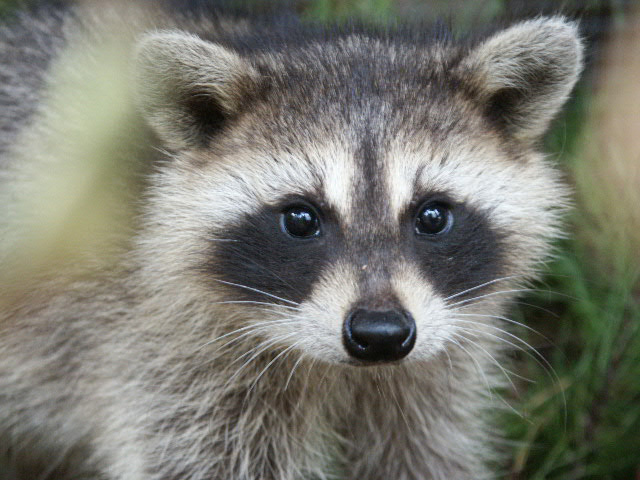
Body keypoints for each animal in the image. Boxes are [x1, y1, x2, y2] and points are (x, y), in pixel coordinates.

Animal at [0, 2, 583, 479]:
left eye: (433, 216)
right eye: (301, 220)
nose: (380, 334)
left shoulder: (433, 374)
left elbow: (423, 453)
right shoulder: (161, 356)